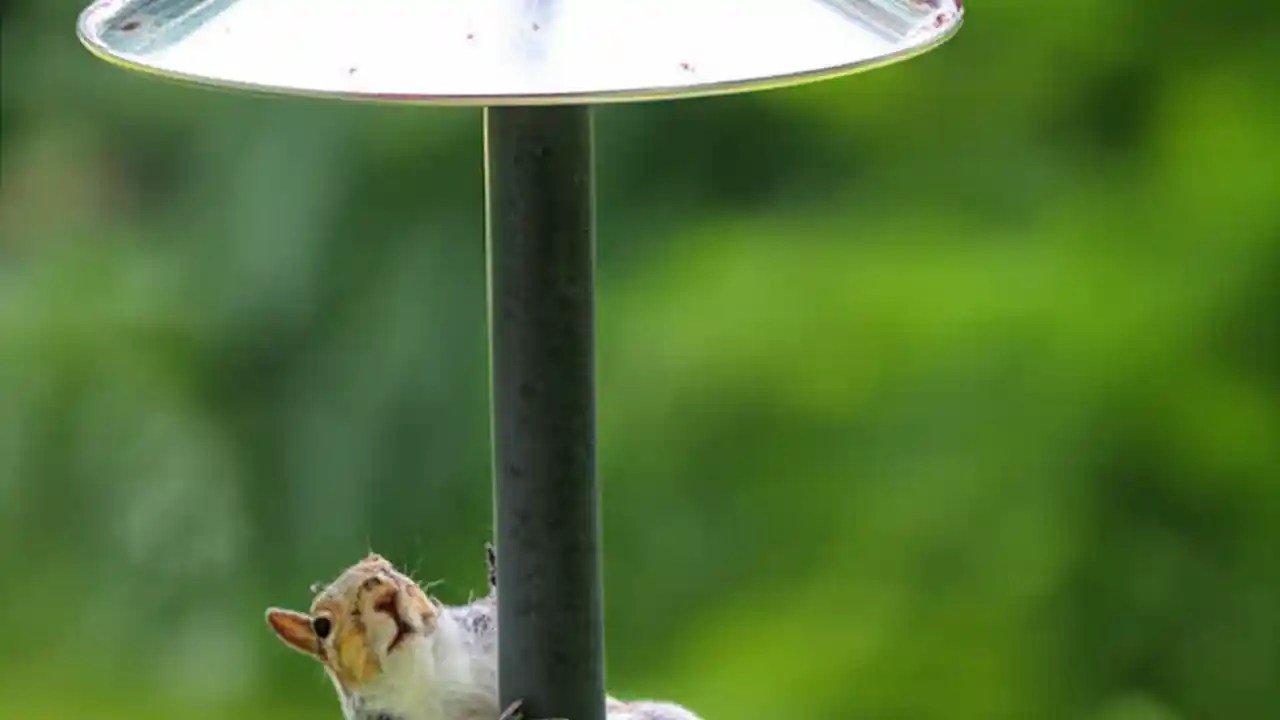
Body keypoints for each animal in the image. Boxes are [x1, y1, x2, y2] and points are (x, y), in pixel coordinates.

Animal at [266, 549, 701, 720]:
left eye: (388, 568)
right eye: (322, 625)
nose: (378, 586)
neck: (429, 678)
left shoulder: (483, 629)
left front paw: (497, 575)